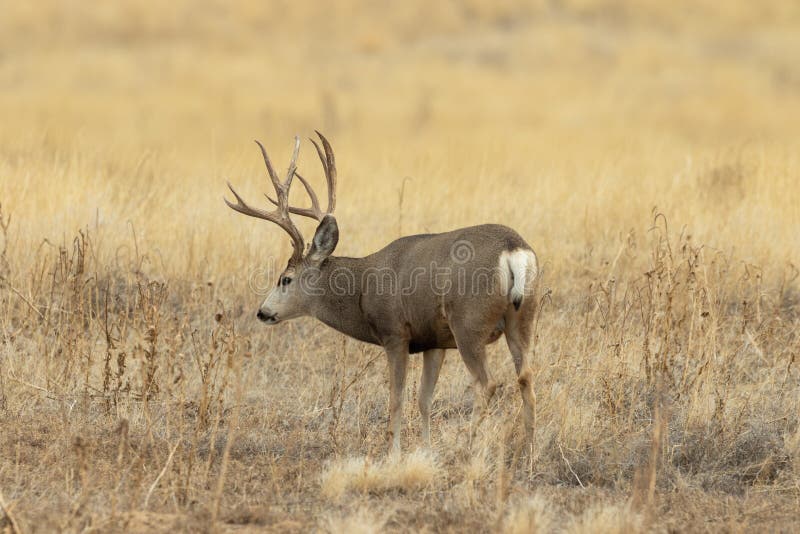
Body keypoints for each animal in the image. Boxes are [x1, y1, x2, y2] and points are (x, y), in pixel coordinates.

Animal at [225, 132, 538, 454]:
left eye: (285, 279)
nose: (263, 312)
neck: (362, 289)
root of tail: (513, 250)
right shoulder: (434, 340)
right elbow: (424, 399)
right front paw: (426, 450)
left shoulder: (395, 333)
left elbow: (396, 398)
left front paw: (394, 452)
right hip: (523, 317)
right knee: (526, 377)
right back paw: (529, 447)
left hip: (468, 323)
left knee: (487, 383)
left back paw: (468, 447)